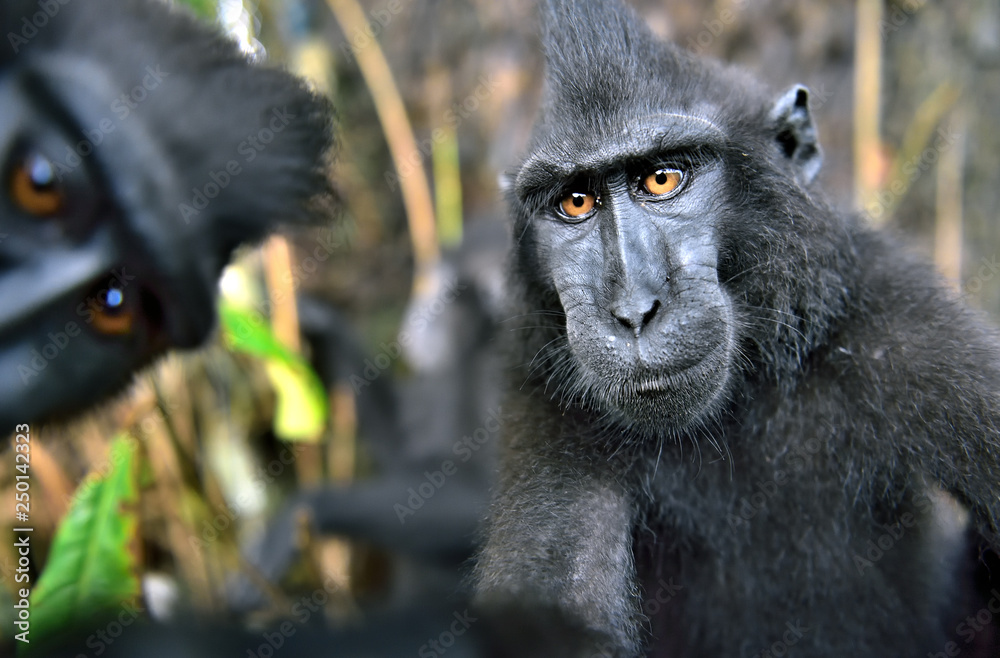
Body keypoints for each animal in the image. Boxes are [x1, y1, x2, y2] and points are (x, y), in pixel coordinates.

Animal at [473, 1, 1000, 657]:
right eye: (575, 203)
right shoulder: (549, 406)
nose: (634, 311)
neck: (736, 408)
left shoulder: (910, 338)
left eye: (662, 179)